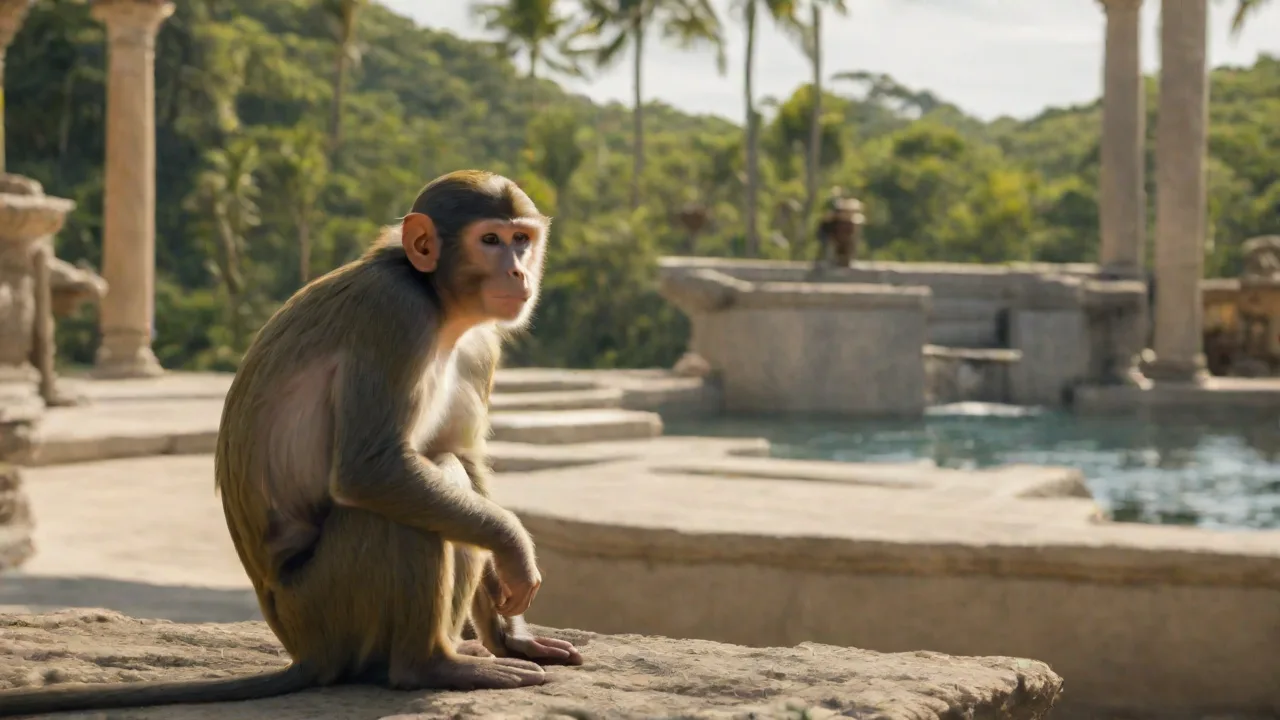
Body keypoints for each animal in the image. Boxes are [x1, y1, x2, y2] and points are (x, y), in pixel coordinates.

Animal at [0, 170, 582, 718]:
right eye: (490, 240)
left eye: (522, 239)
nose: (518, 271)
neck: (438, 304)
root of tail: (303, 649)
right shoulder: (395, 313)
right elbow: (373, 469)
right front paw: (514, 547)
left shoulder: (479, 344)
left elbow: (463, 453)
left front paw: (512, 632)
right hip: (327, 605)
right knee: (407, 501)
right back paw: (430, 665)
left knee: (441, 477)